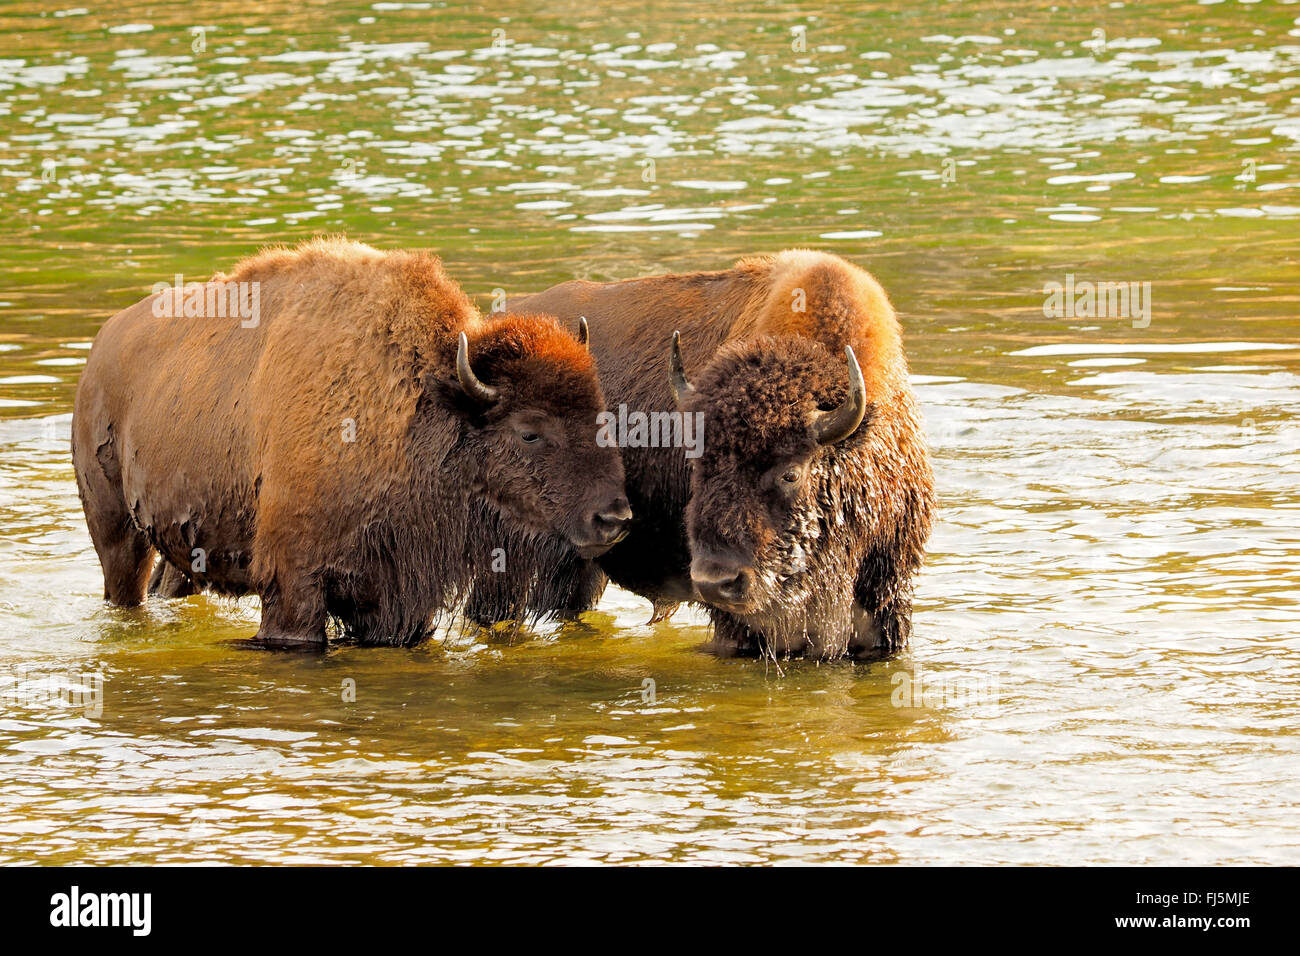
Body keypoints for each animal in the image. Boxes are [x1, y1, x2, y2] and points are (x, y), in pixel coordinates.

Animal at [73, 235, 631, 647]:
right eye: (529, 431)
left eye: (600, 417)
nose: (615, 518)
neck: (426, 399)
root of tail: (100, 349)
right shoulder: (293, 583)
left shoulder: (397, 596)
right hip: (117, 534)